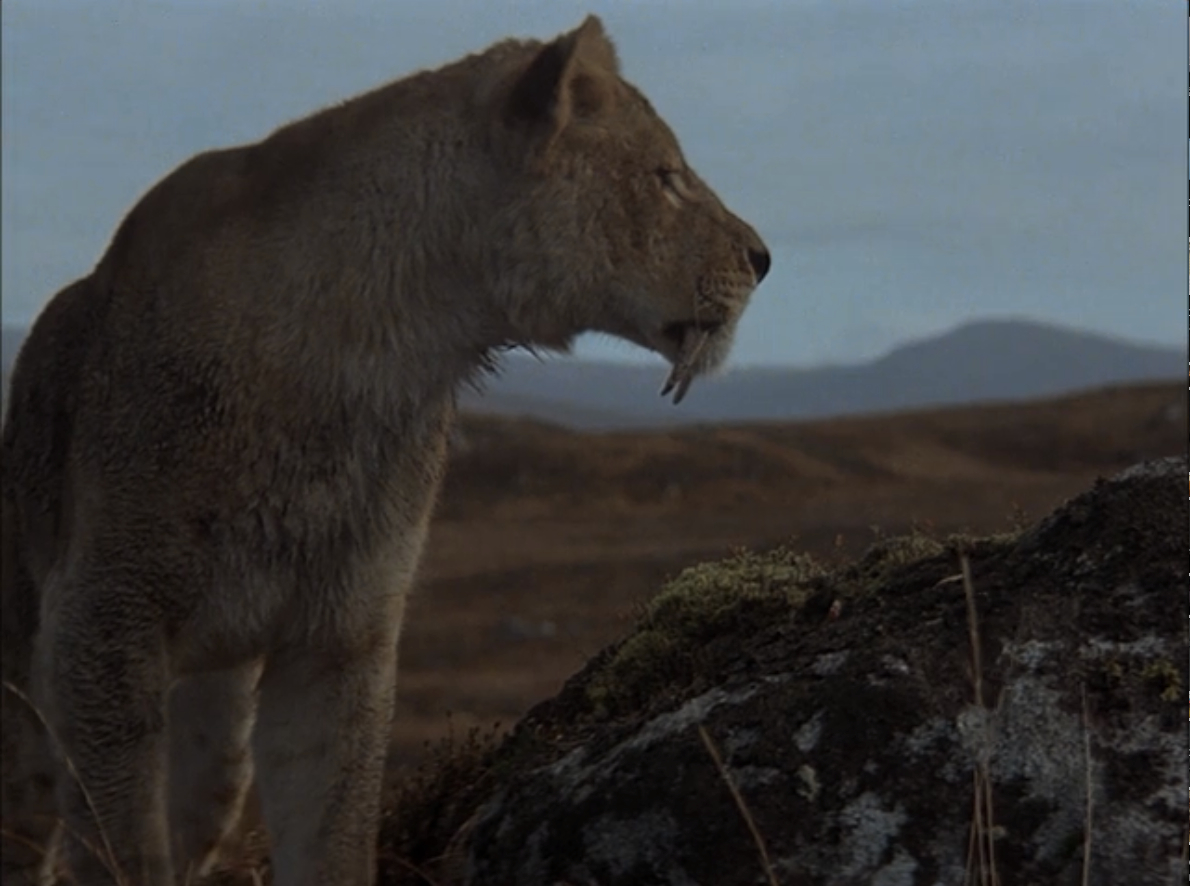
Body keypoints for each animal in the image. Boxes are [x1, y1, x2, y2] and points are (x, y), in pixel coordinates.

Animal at [0, 15, 769, 886]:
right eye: (666, 177)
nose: (763, 258)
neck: (372, 359)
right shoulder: (101, 623)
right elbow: (123, 842)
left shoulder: (343, 634)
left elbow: (332, 833)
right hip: (28, 695)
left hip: (215, 733)